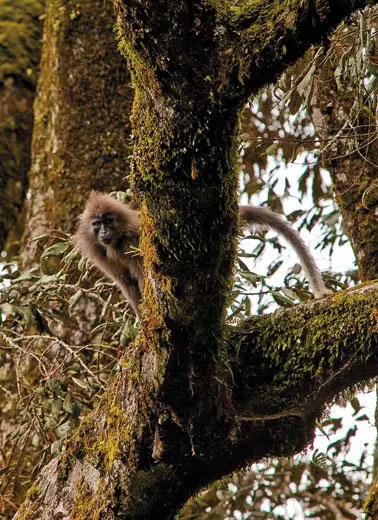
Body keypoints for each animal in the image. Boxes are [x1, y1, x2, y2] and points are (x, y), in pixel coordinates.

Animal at [73, 192, 328, 316]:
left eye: (108, 221)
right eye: (97, 224)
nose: (103, 231)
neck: (115, 242)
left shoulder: (130, 243)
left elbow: (143, 275)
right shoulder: (101, 252)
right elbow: (126, 282)